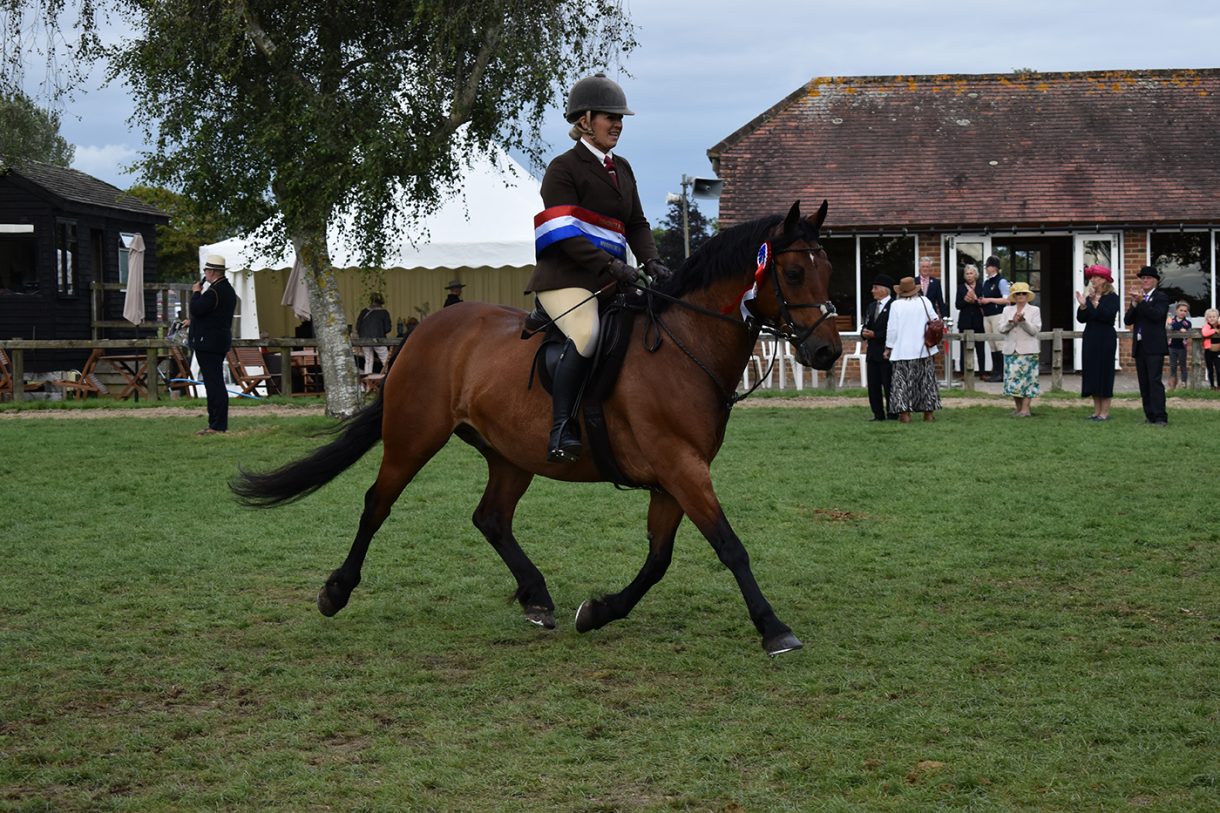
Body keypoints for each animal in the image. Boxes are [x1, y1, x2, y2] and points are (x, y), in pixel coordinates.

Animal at [231, 199, 842, 655]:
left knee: (491, 518)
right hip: (413, 437)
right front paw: (774, 629)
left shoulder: (674, 478)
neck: (682, 346)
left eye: (828, 269)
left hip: (511, 455)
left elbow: (659, 560)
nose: (828, 352)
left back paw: (536, 597)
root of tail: (426, 328)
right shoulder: (681, 468)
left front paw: (597, 612)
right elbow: (730, 547)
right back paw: (336, 591)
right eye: (793, 272)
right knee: (377, 503)